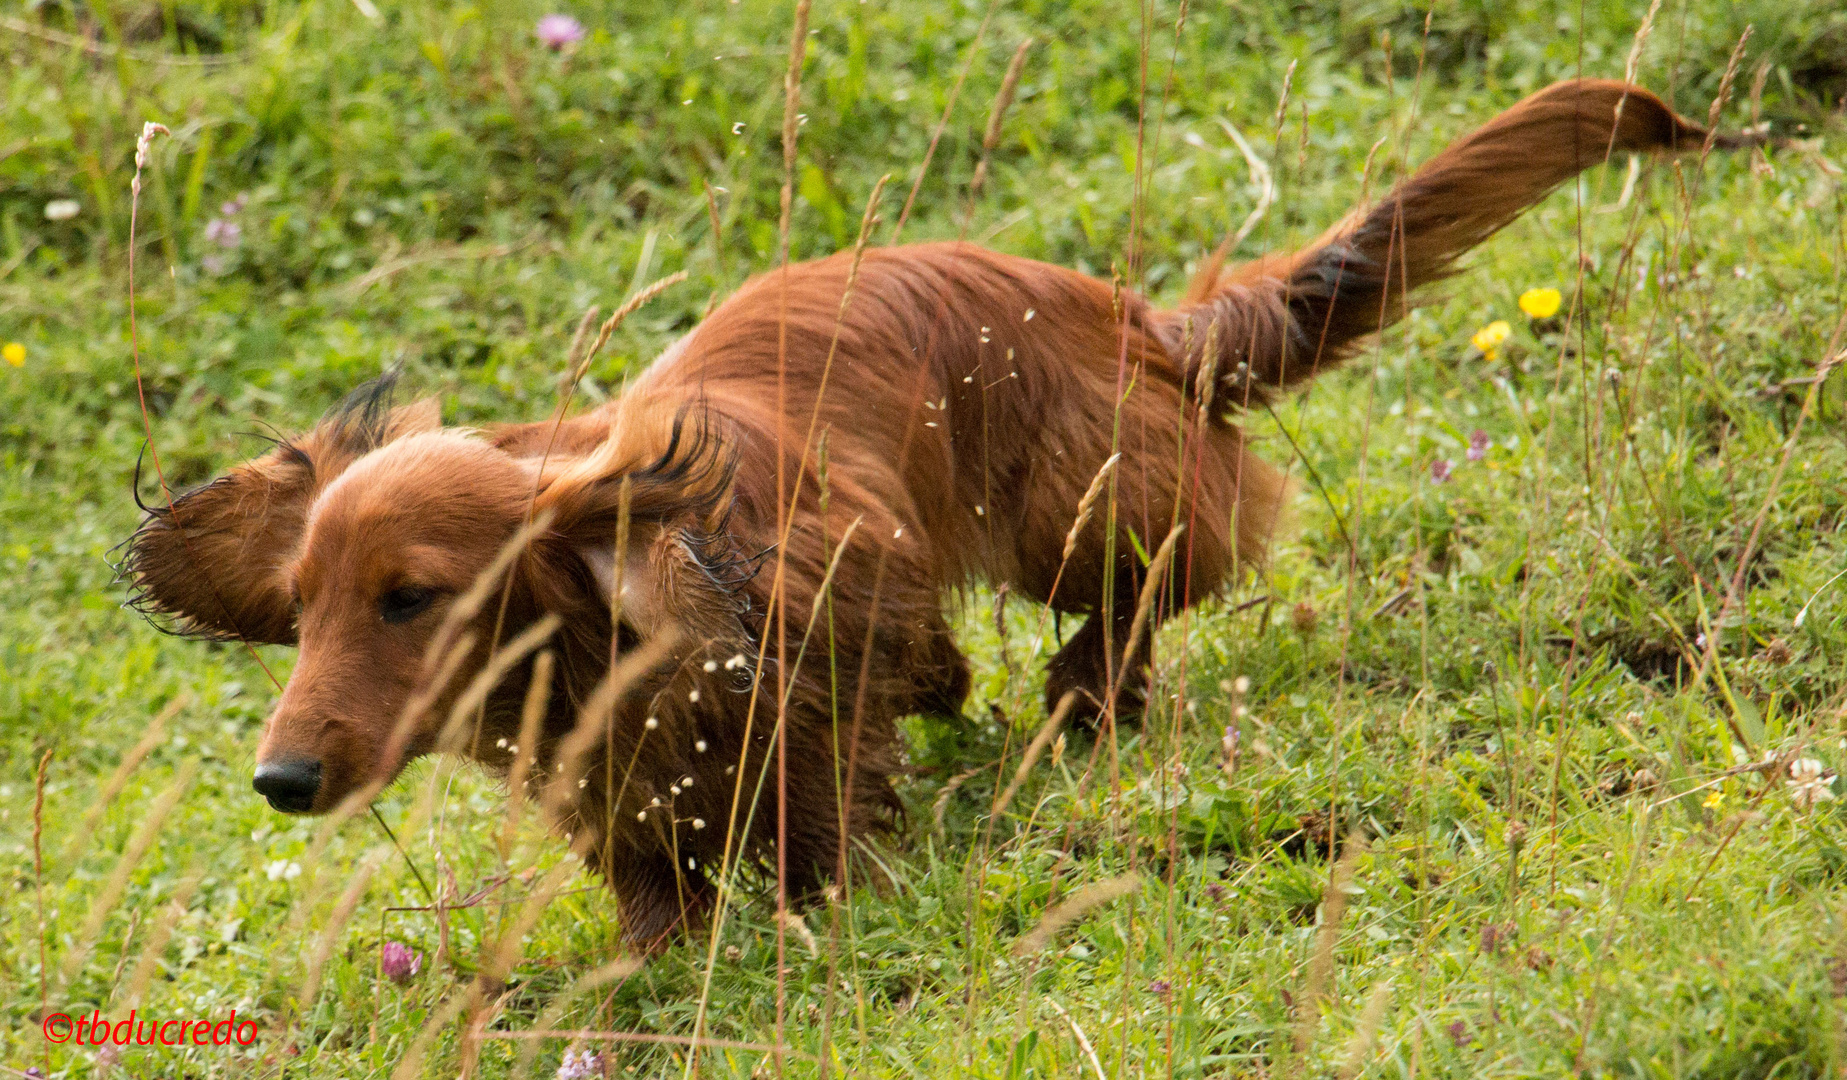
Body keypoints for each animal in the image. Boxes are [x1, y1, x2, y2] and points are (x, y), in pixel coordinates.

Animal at [126, 82, 1743, 945]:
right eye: (299, 613)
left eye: (411, 597)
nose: (279, 782)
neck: (629, 631)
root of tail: (1142, 319)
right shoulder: (626, 810)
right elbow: (654, 906)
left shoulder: (843, 660)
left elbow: (844, 793)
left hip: (1067, 513)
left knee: (1136, 596)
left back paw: (1082, 700)